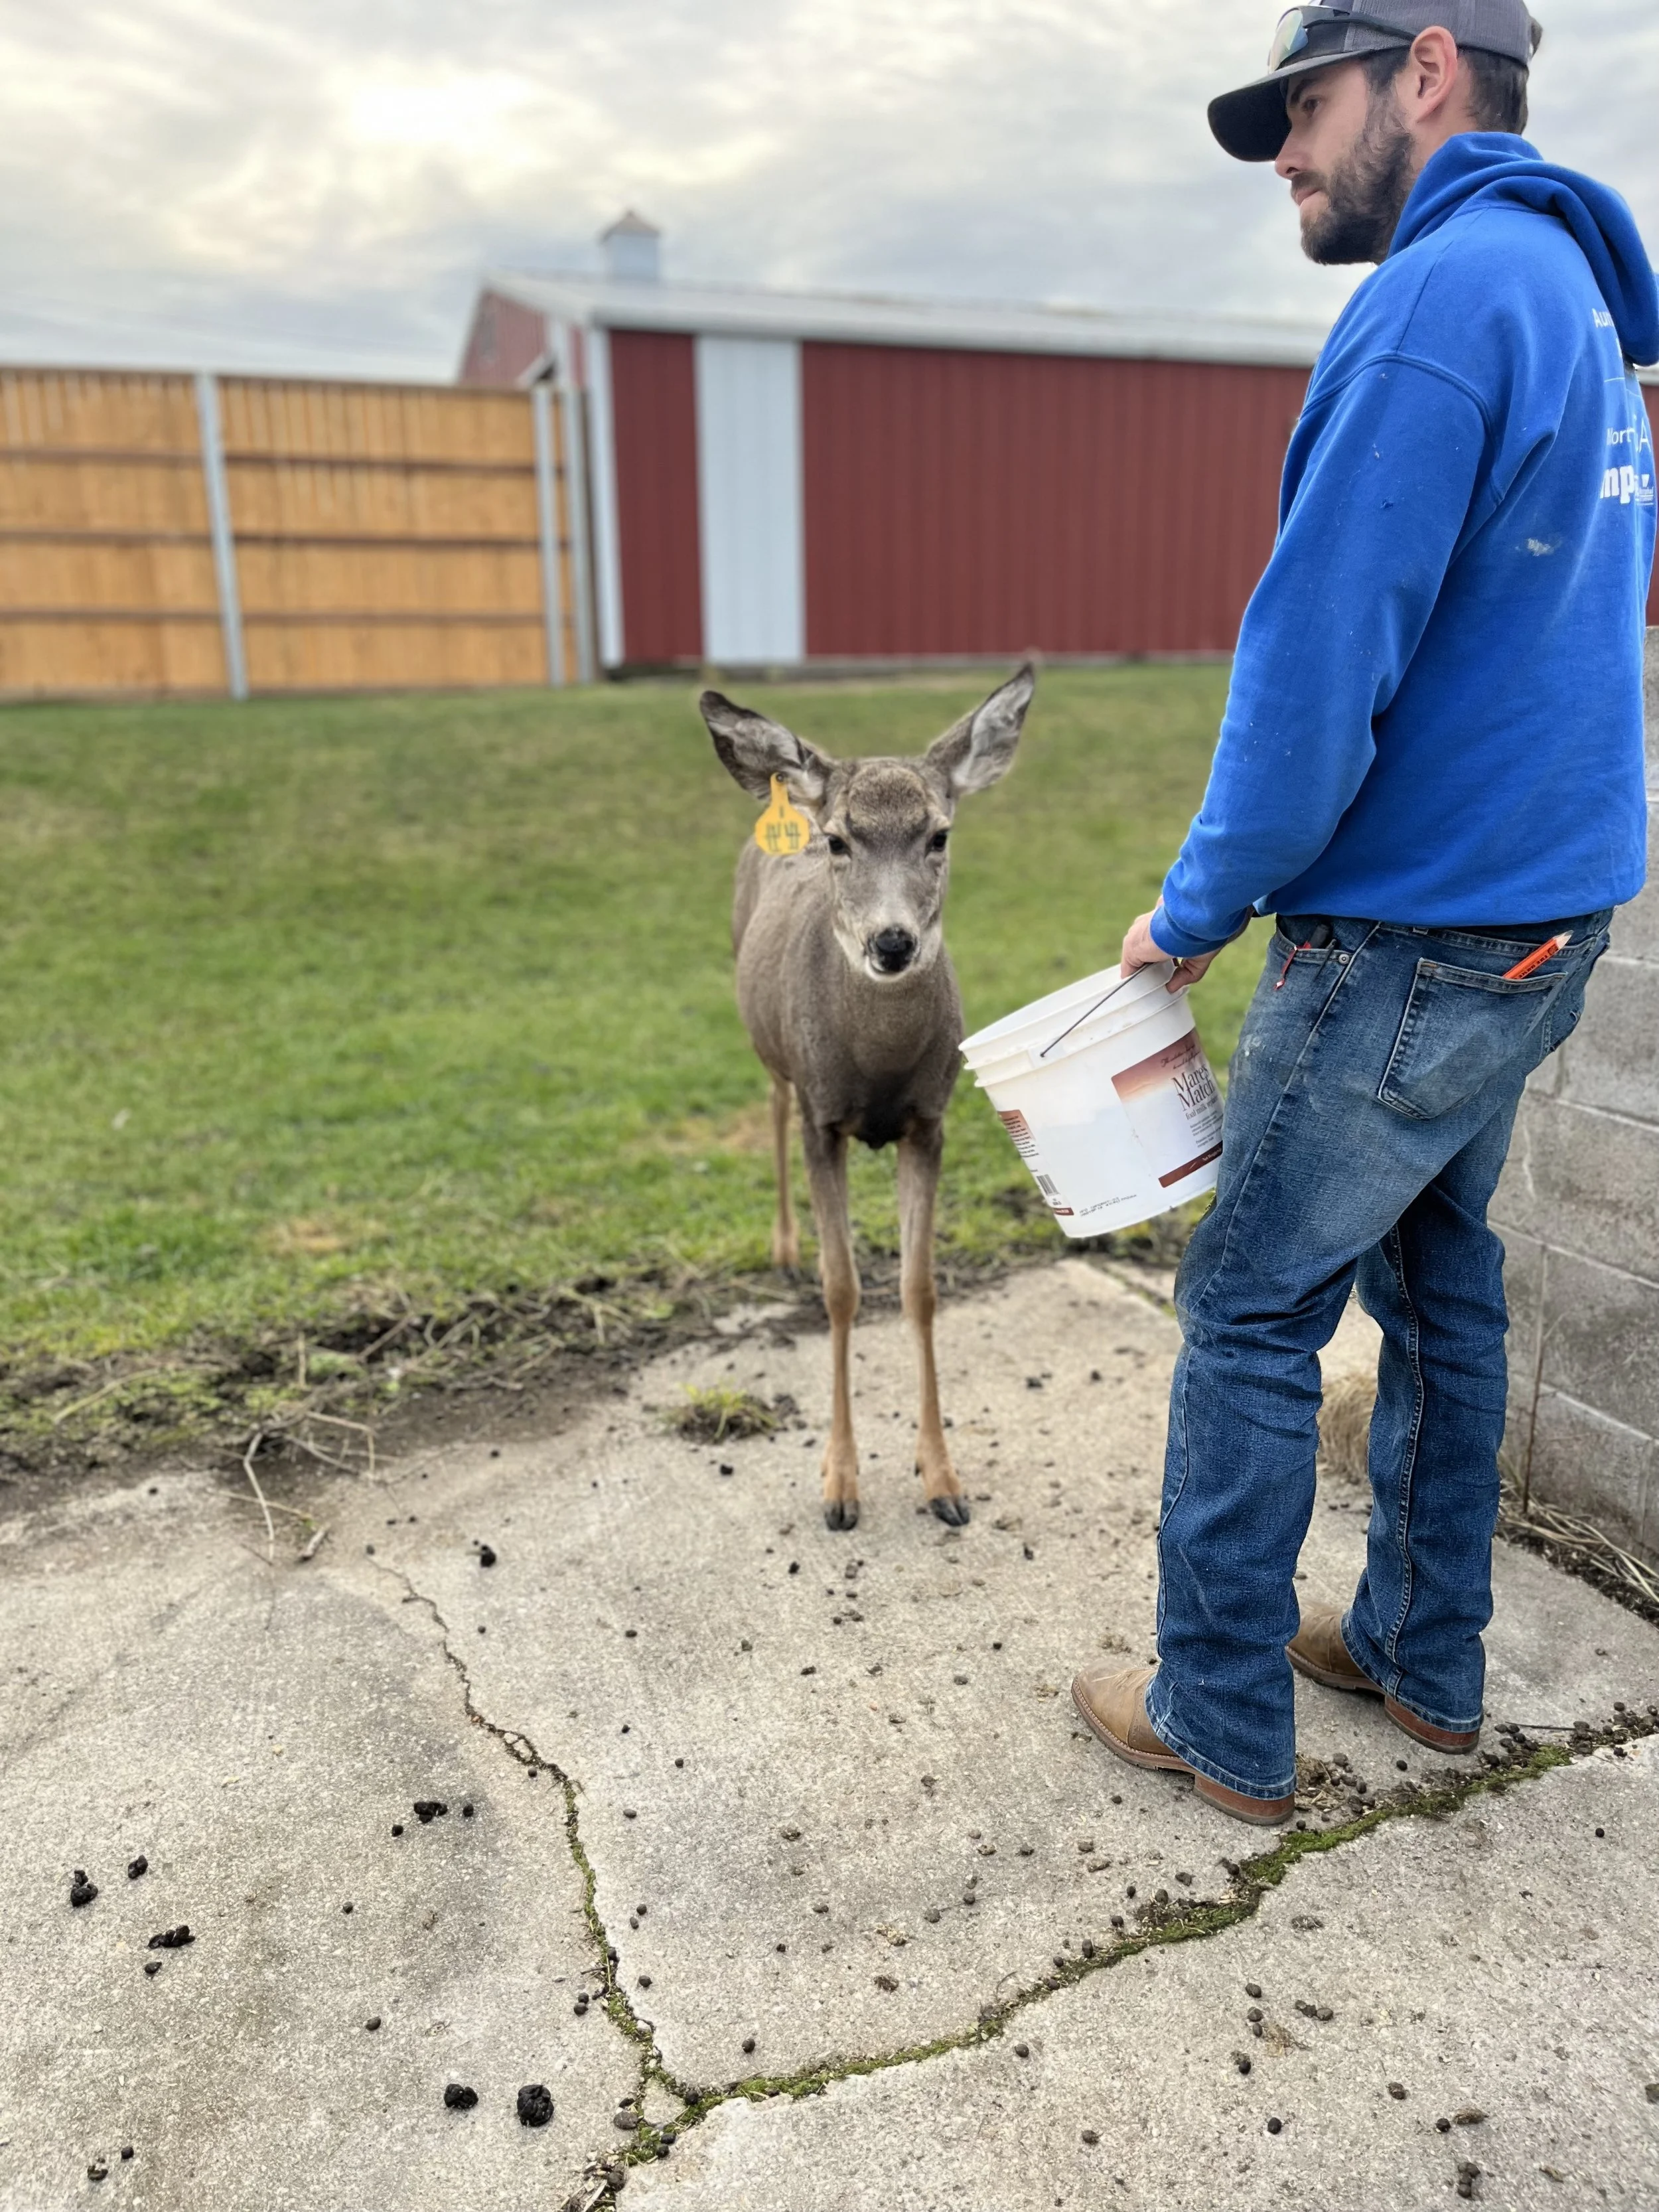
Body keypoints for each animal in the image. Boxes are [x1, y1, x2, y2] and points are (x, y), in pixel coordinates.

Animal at [698, 666, 1035, 1532]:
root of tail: (786, 791)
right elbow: (843, 1290)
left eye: (939, 835)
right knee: (773, 1106)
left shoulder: (930, 1122)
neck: (877, 1063)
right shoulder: (824, 1120)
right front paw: (840, 1486)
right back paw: (785, 1249)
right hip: (769, 1046)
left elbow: (918, 1290)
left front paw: (942, 1480)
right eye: (840, 840)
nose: (892, 942)